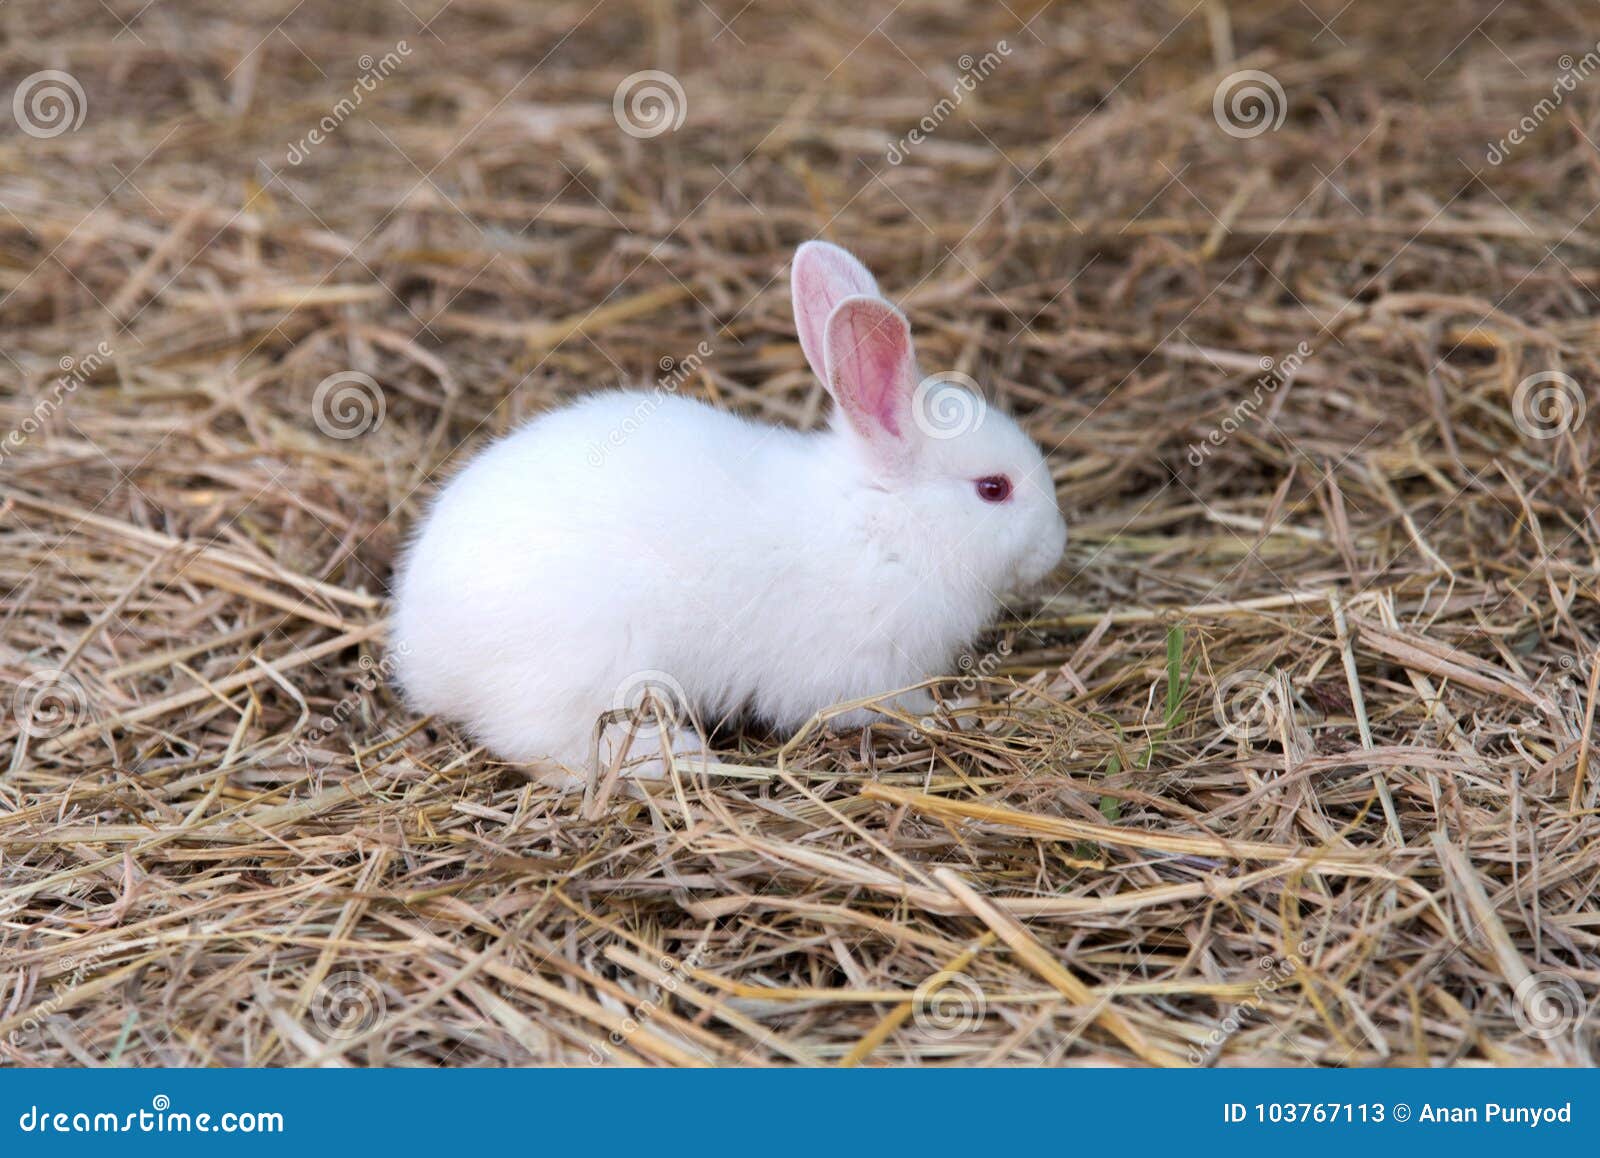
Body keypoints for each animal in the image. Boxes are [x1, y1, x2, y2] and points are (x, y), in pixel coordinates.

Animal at [391, 240, 1068, 782]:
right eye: (994, 489)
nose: (1057, 546)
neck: (885, 522)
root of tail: (420, 650)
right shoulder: (864, 673)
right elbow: (890, 708)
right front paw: (958, 713)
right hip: (589, 667)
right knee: (552, 744)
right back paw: (683, 758)